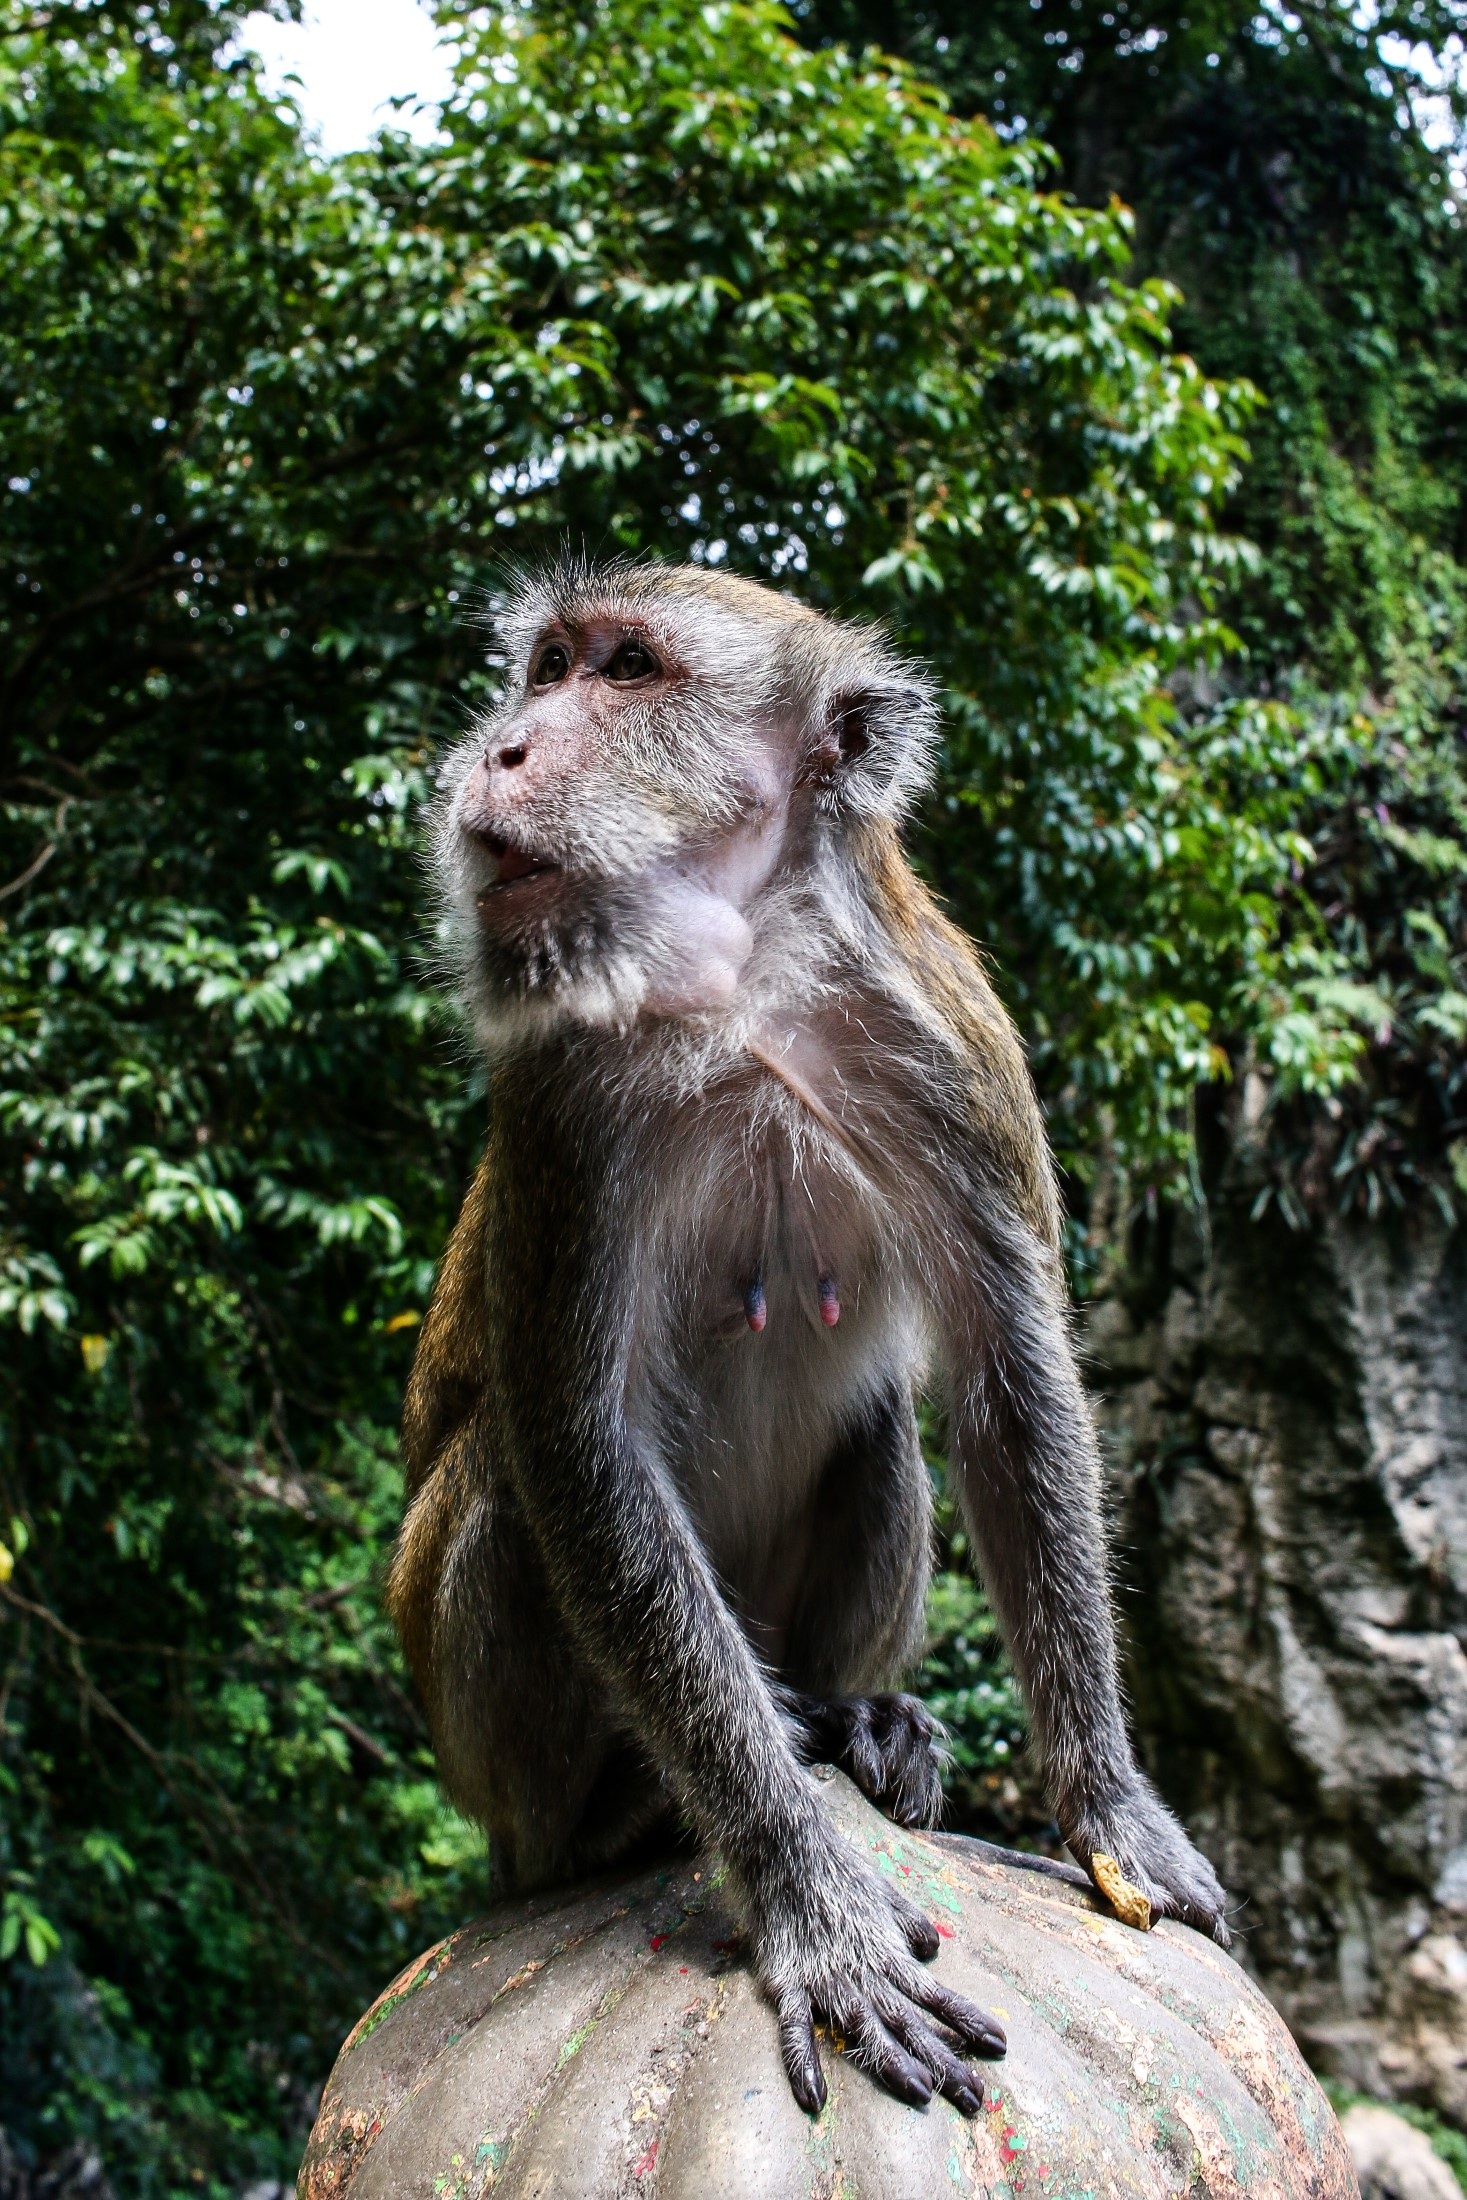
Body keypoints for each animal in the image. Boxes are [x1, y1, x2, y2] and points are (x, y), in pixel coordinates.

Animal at [388, 555, 1229, 2120]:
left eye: (628, 670)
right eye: (544, 667)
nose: (504, 748)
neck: (745, 978)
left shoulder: (953, 1044)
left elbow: (1009, 1380)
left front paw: (1108, 1802)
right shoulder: (563, 1102)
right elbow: (578, 1448)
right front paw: (810, 1904)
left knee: (883, 1426)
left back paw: (853, 1719)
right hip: (480, 1759)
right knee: (503, 1488)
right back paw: (619, 1822)